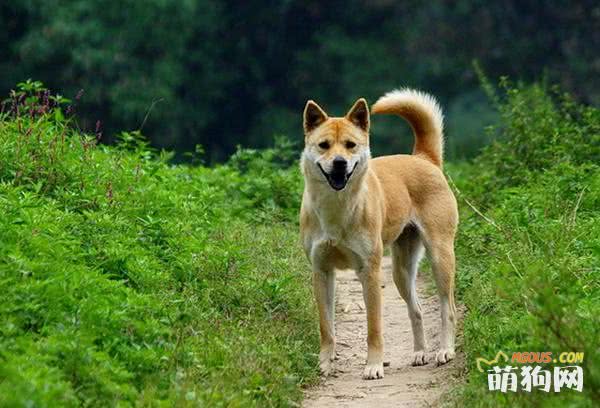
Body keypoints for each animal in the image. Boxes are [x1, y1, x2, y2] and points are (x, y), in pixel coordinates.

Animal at [300, 88, 460, 380]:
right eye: (324, 145)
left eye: (350, 145)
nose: (339, 163)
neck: (337, 208)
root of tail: (422, 158)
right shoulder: (321, 271)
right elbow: (326, 327)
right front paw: (325, 364)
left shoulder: (370, 271)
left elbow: (374, 327)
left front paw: (373, 365)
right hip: (401, 271)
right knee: (416, 310)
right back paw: (419, 353)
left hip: (440, 257)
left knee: (449, 308)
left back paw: (445, 350)